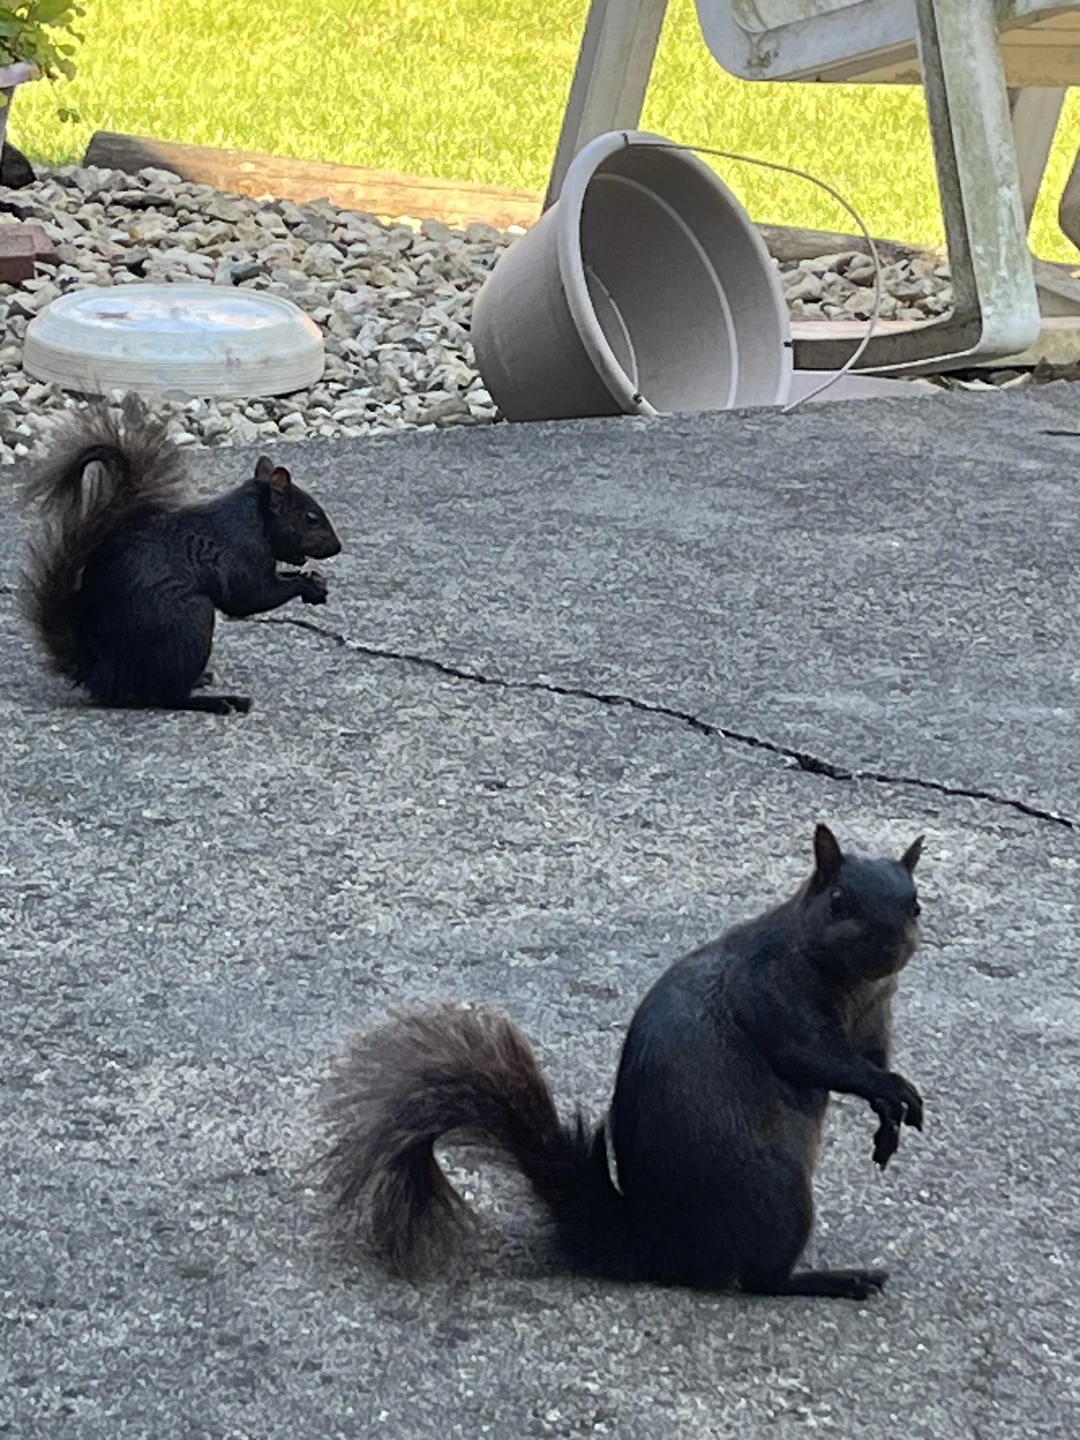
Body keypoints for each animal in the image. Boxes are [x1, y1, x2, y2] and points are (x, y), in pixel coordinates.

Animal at [21, 395, 342, 715]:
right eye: (311, 517)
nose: (337, 547)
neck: (256, 517)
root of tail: (104, 677)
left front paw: (315, 581)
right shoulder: (241, 552)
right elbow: (248, 597)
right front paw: (306, 584)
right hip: (188, 622)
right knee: (167, 696)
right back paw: (218, 700)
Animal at [321, 824, 925, 1300]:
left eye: (917, 904)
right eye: (839, 900)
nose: (888, 945)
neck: (857, 990)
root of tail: (656, 1251)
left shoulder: (874, 1025)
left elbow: (870, 1064)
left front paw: (889, 1118)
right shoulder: (772, 1002)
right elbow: (819, 1060)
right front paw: (895, 1093)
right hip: (780, 1196)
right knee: (759, 1281)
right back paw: (834, 1280)